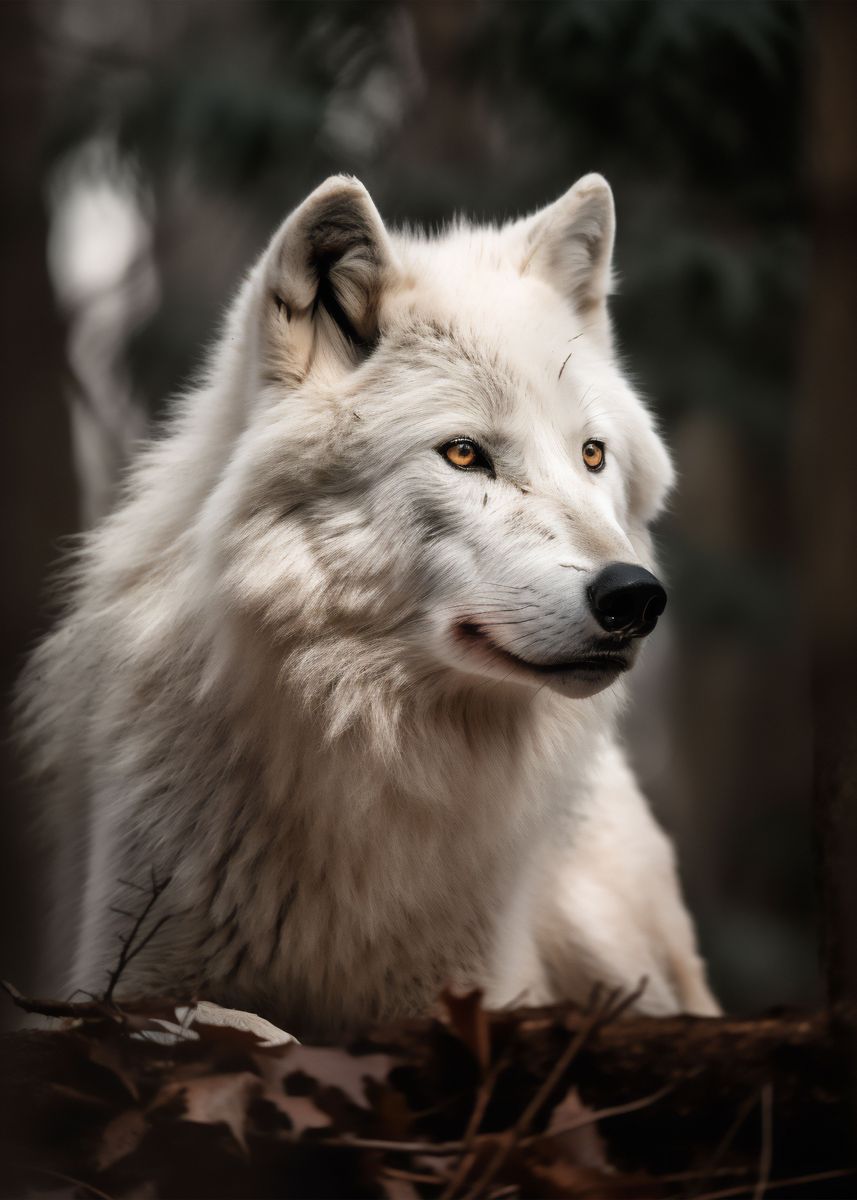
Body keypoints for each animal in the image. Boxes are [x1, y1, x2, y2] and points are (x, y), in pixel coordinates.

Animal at [19, 173, 718, 1040]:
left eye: (591, 455)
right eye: (463, 454)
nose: (636, 596)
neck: (372, 751)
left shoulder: (464, 992)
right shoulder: (126, 973)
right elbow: (236, 1021)